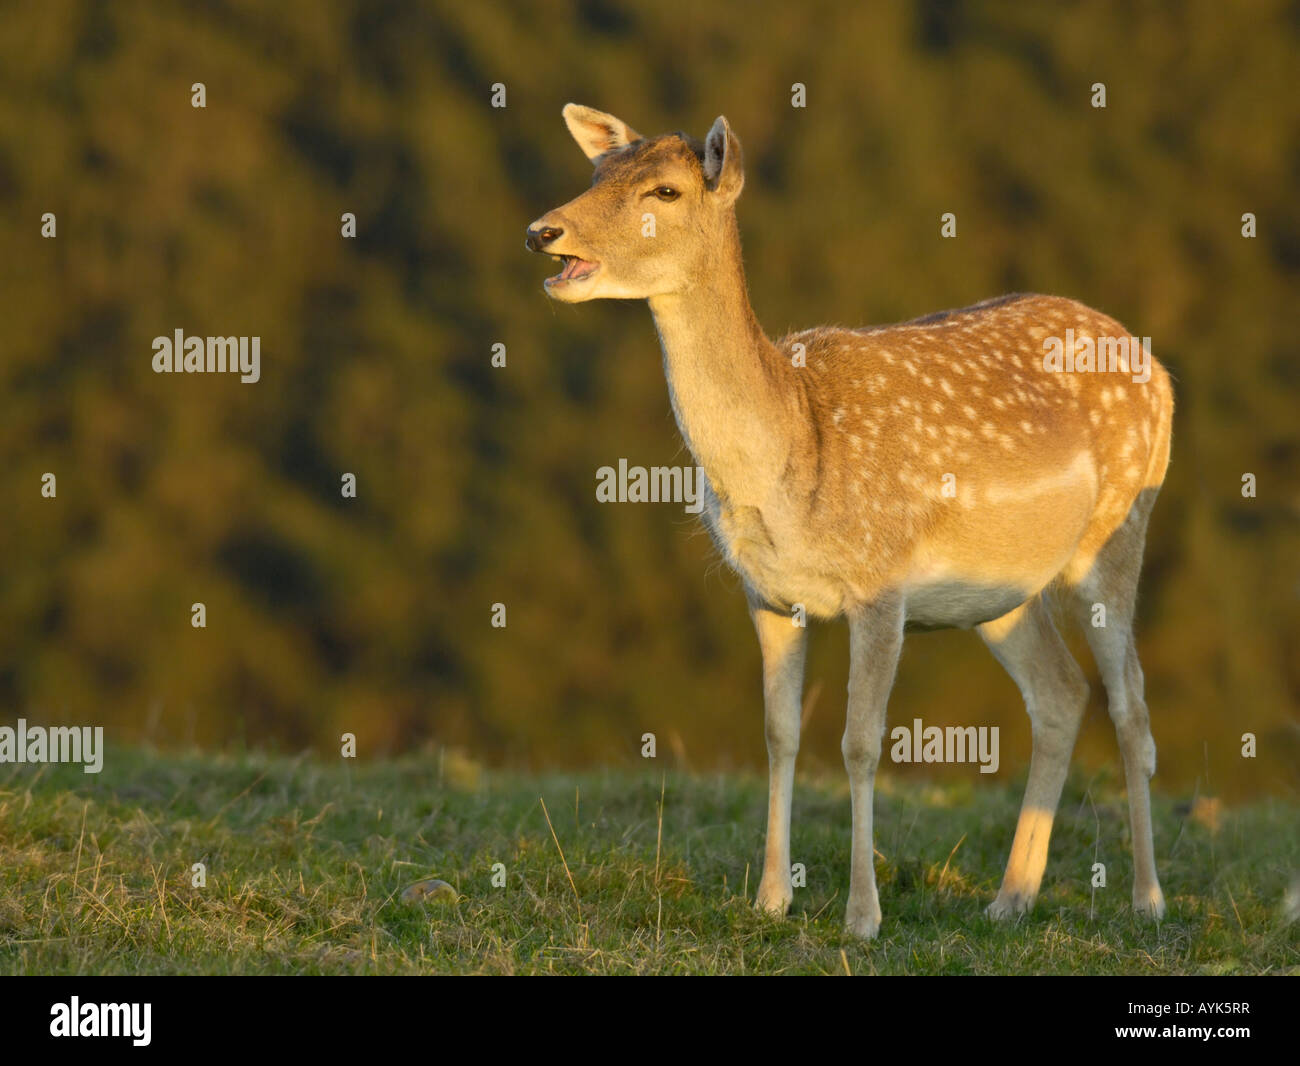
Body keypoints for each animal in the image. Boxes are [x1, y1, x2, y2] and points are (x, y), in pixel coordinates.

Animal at [526, 104, 1173, 938]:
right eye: (599, 171)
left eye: (665, 190)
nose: (544, 231)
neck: (789, 453)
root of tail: (1159, 371)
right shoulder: (766, 594)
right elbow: (780, 734)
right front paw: (771, 898)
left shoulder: (881, 582)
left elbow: (861, 743)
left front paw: (861, 918)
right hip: (998, 593)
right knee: (1061, 694)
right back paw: (1010, 897)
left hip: (1120, 530)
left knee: (1131, 703)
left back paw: (1147, 898)